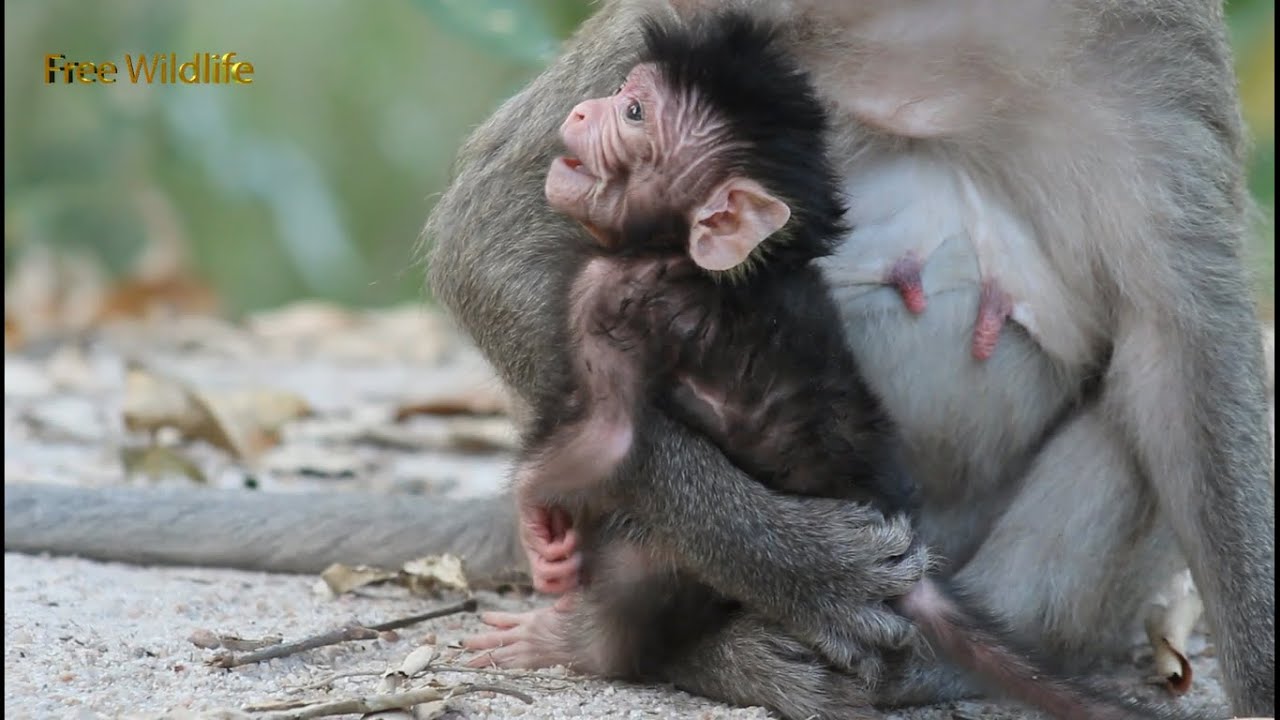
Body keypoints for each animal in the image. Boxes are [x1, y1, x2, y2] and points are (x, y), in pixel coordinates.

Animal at [5, 1, 1272, 718]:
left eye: (634, 123)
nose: (590, 126)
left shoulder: (1152, 38)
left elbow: (1187, 342)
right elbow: (492, 244)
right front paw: (806, 567)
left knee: (1136, 415)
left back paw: (966, 667)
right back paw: (731, 654)